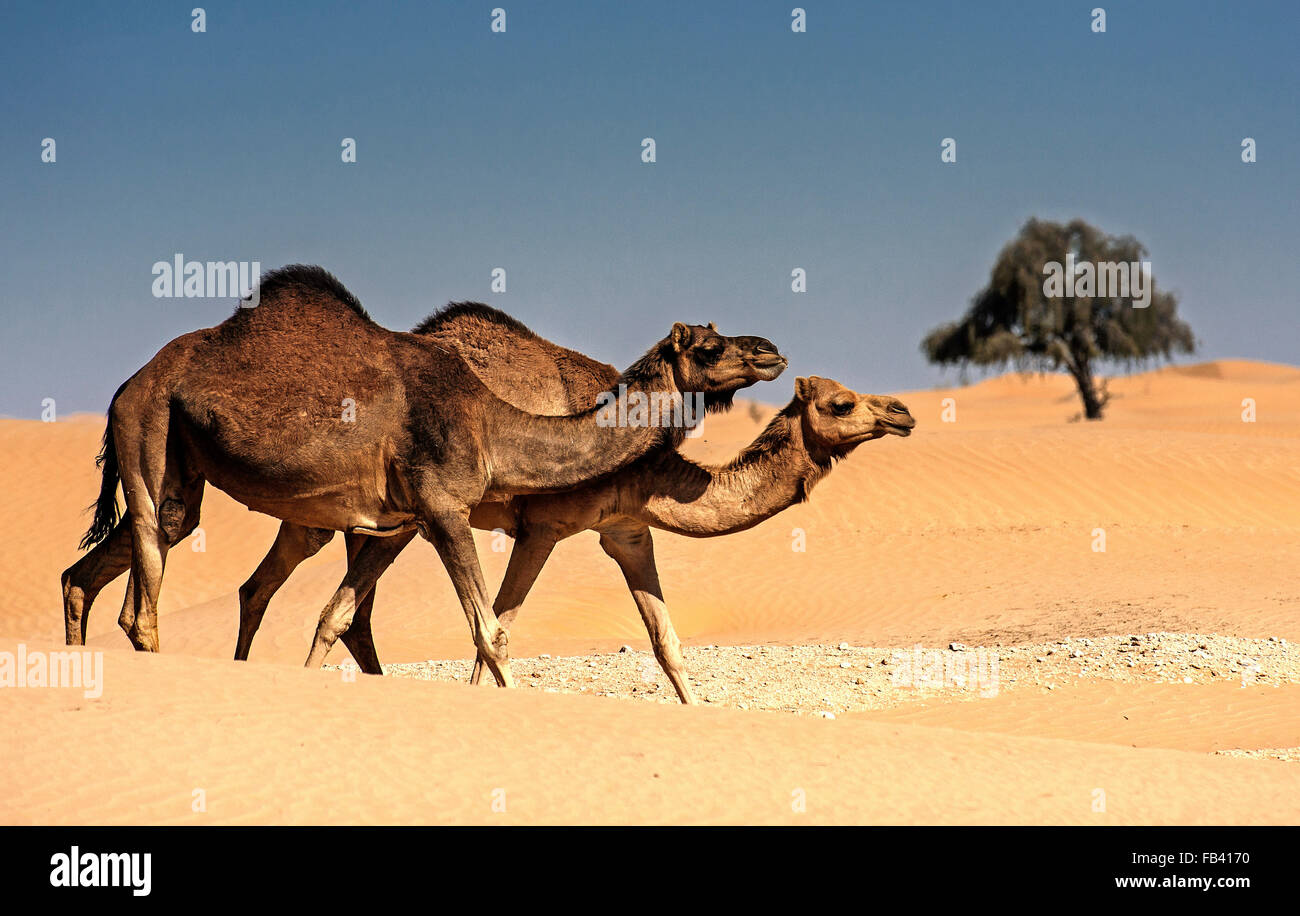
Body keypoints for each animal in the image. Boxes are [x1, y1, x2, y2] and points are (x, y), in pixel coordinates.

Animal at [60, 265, 785, 689]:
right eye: (710, 347)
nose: (770, 351)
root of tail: (127, 384)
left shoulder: (617, 528)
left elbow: (661, 640)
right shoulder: (477, 515)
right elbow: (494, 632)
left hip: (197, 478)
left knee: (115, 566)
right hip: (150, 426)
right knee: (148, 599)